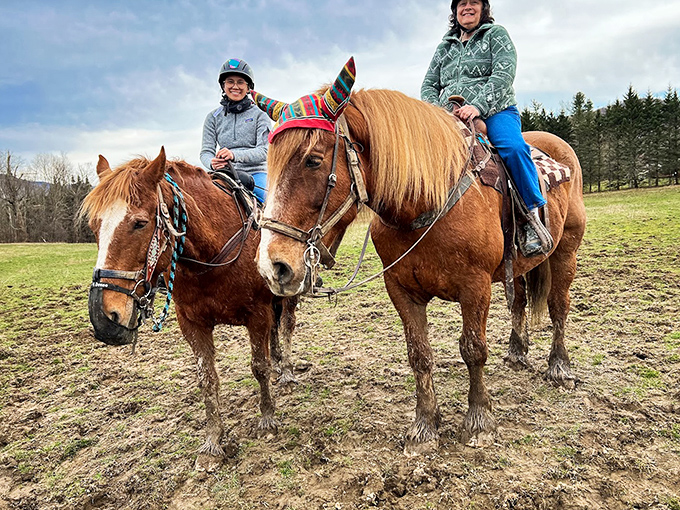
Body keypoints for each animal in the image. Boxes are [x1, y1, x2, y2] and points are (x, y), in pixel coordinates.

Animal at [80, 148, 298, 470]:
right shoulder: (192, 324)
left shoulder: (257, 314)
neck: (212, 255)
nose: (102, 316)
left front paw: (268, 419)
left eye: (140, 223)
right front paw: (213, 443)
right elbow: (207, 380)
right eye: (94, 226)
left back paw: (286, 373)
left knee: (285, 327)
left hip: (287, 295)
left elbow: (259, 367)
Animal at [251, 58, 586, 453]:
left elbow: (473, 349)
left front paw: (479, 421)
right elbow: (419, 354)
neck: (428, 200)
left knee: (558, 306)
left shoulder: (475, 288)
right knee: (519, 300)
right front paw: (425, 424)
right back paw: (517, 352)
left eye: (314, 161)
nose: (273, 266)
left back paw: (560, 367)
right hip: (517, 266)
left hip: (566, 252)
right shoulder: (401, 290)